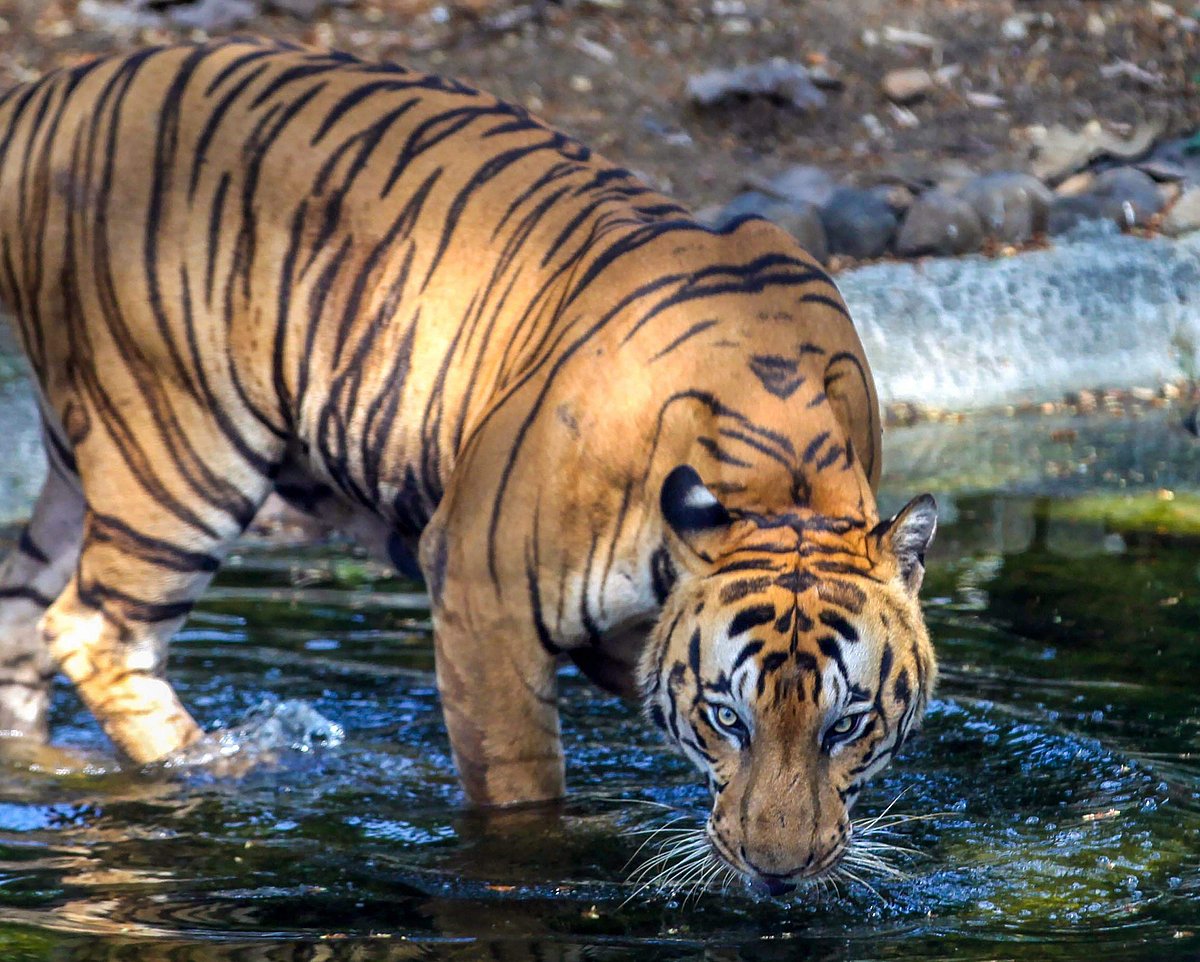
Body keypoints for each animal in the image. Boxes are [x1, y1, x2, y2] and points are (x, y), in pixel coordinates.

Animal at [0, 39, 937, 895]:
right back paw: (217, 769)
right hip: (173, 451)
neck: (784, 476)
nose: (778, 874)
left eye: (845, 726)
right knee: (94, 630)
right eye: (727, 718)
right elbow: (519, 786)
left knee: (22, 620)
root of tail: (55, 88)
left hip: (82, 462)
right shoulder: (482, 595)